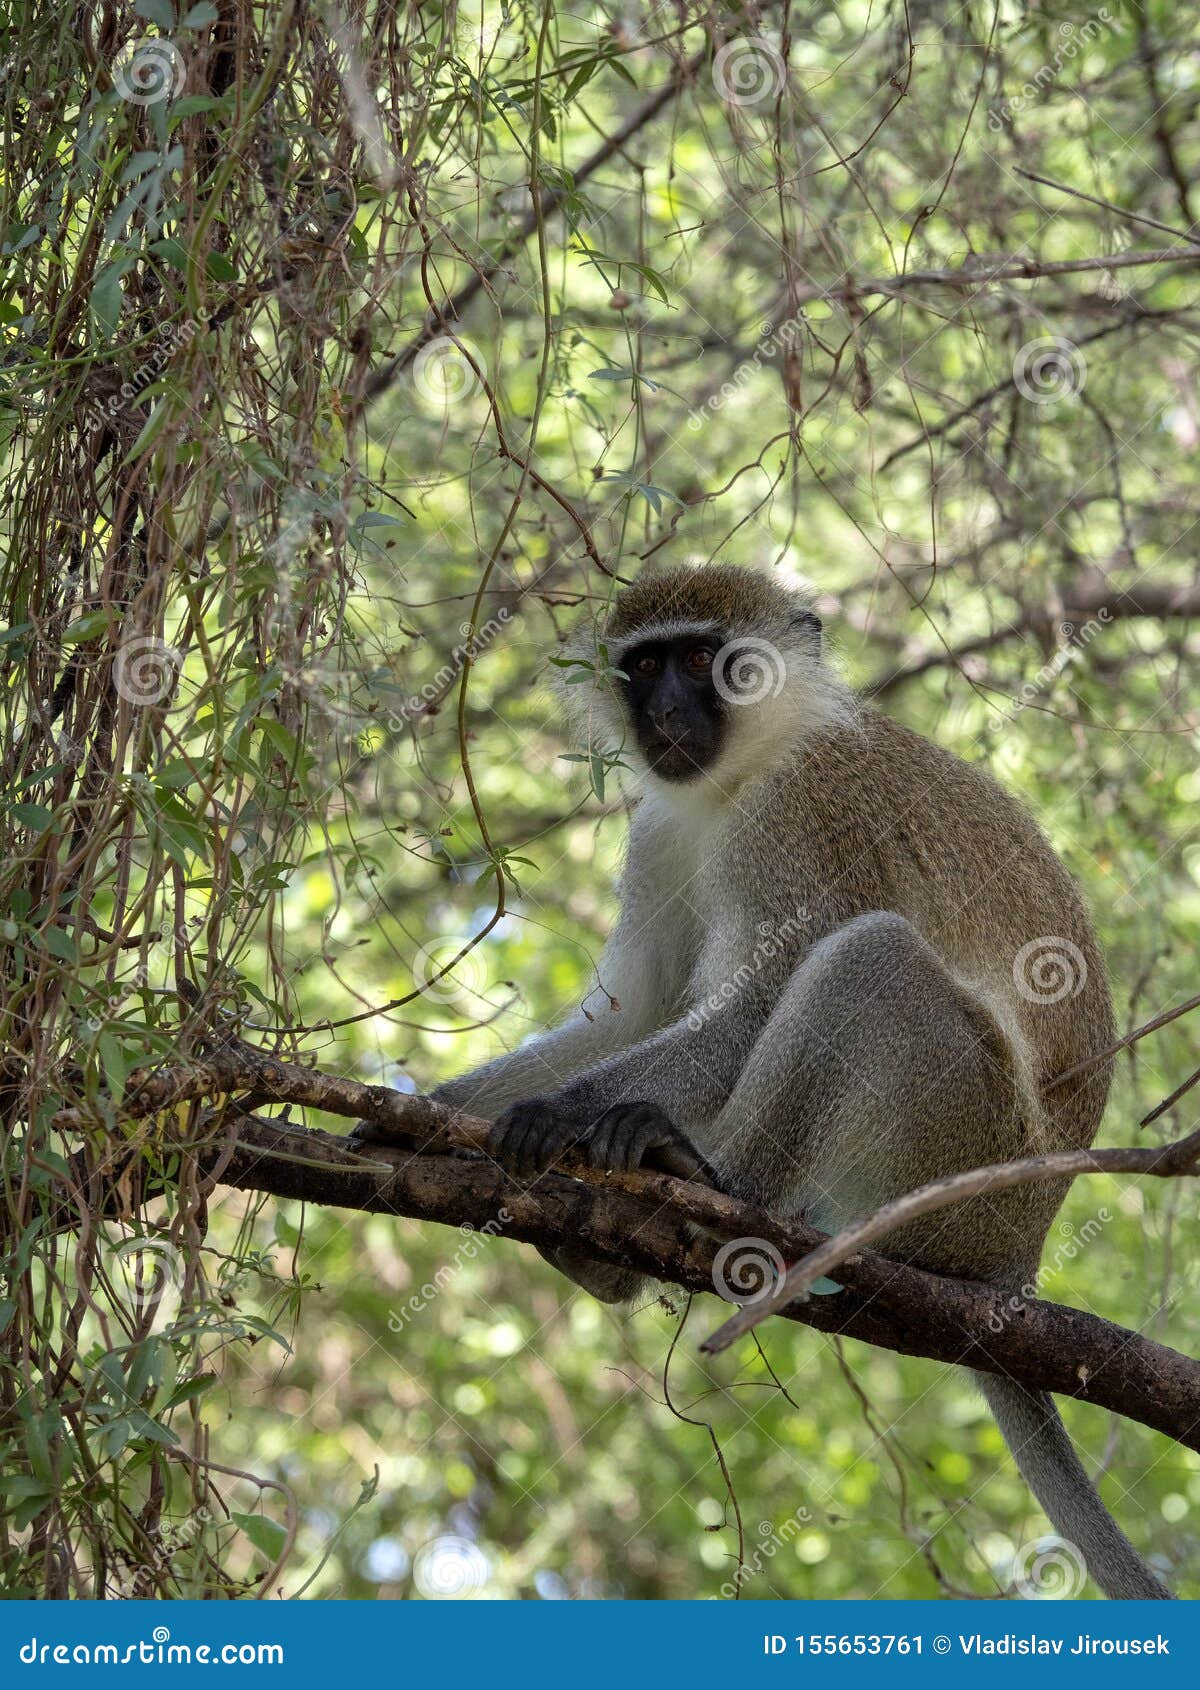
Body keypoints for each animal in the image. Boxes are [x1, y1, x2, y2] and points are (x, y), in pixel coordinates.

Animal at [353, 564, 1172, 1601]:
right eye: (645, 664)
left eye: (705, 657)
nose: (665, 710)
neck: (744, 771)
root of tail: (1016, 1259)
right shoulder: (660, 831)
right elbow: (631, 1015)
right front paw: (424, 1117)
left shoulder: (804, 817)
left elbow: (758, 999)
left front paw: (554, 1114)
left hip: (964, 1159)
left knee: (870, 960)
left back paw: (710, 1194)